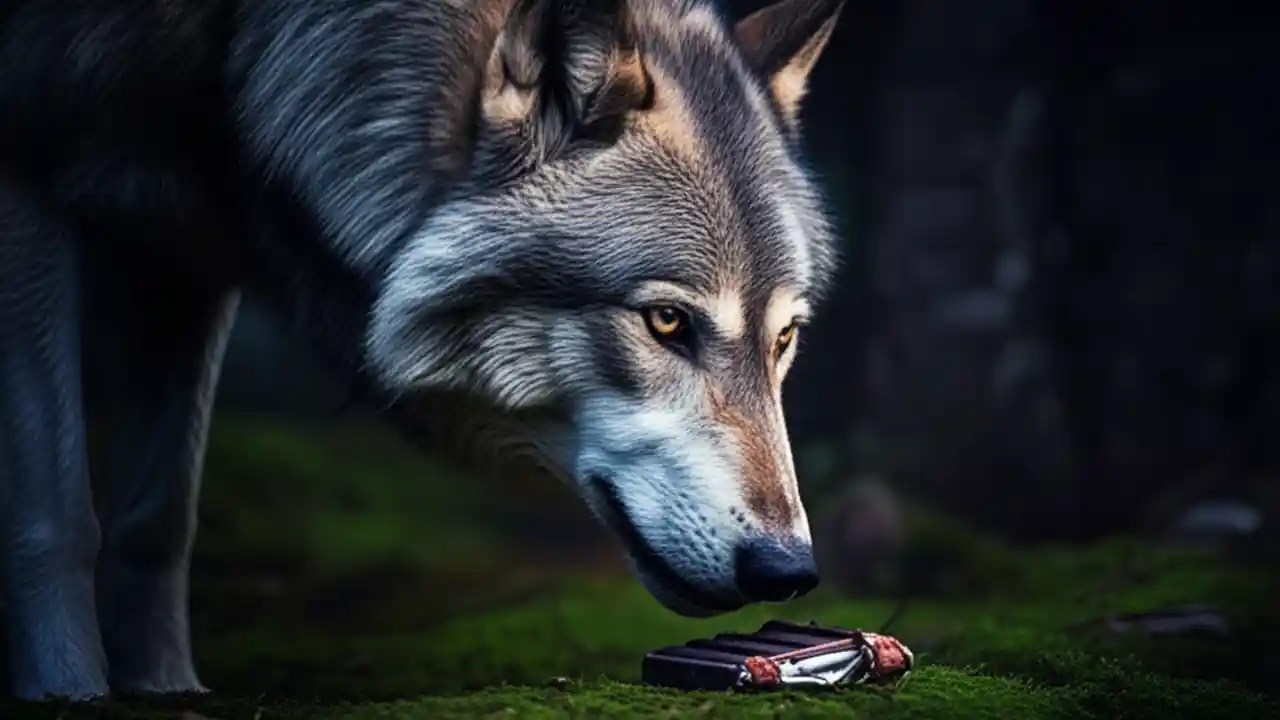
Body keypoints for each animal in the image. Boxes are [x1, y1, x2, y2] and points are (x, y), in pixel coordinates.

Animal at [0, 0, 843, 700]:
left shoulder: (193, 253)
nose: (789, 569)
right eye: (668, 322)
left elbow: (161, 515)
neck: (244, 44)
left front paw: (165, 690)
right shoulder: (29, 177)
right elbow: (59, 515)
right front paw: (70, 692)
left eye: (783, 339)